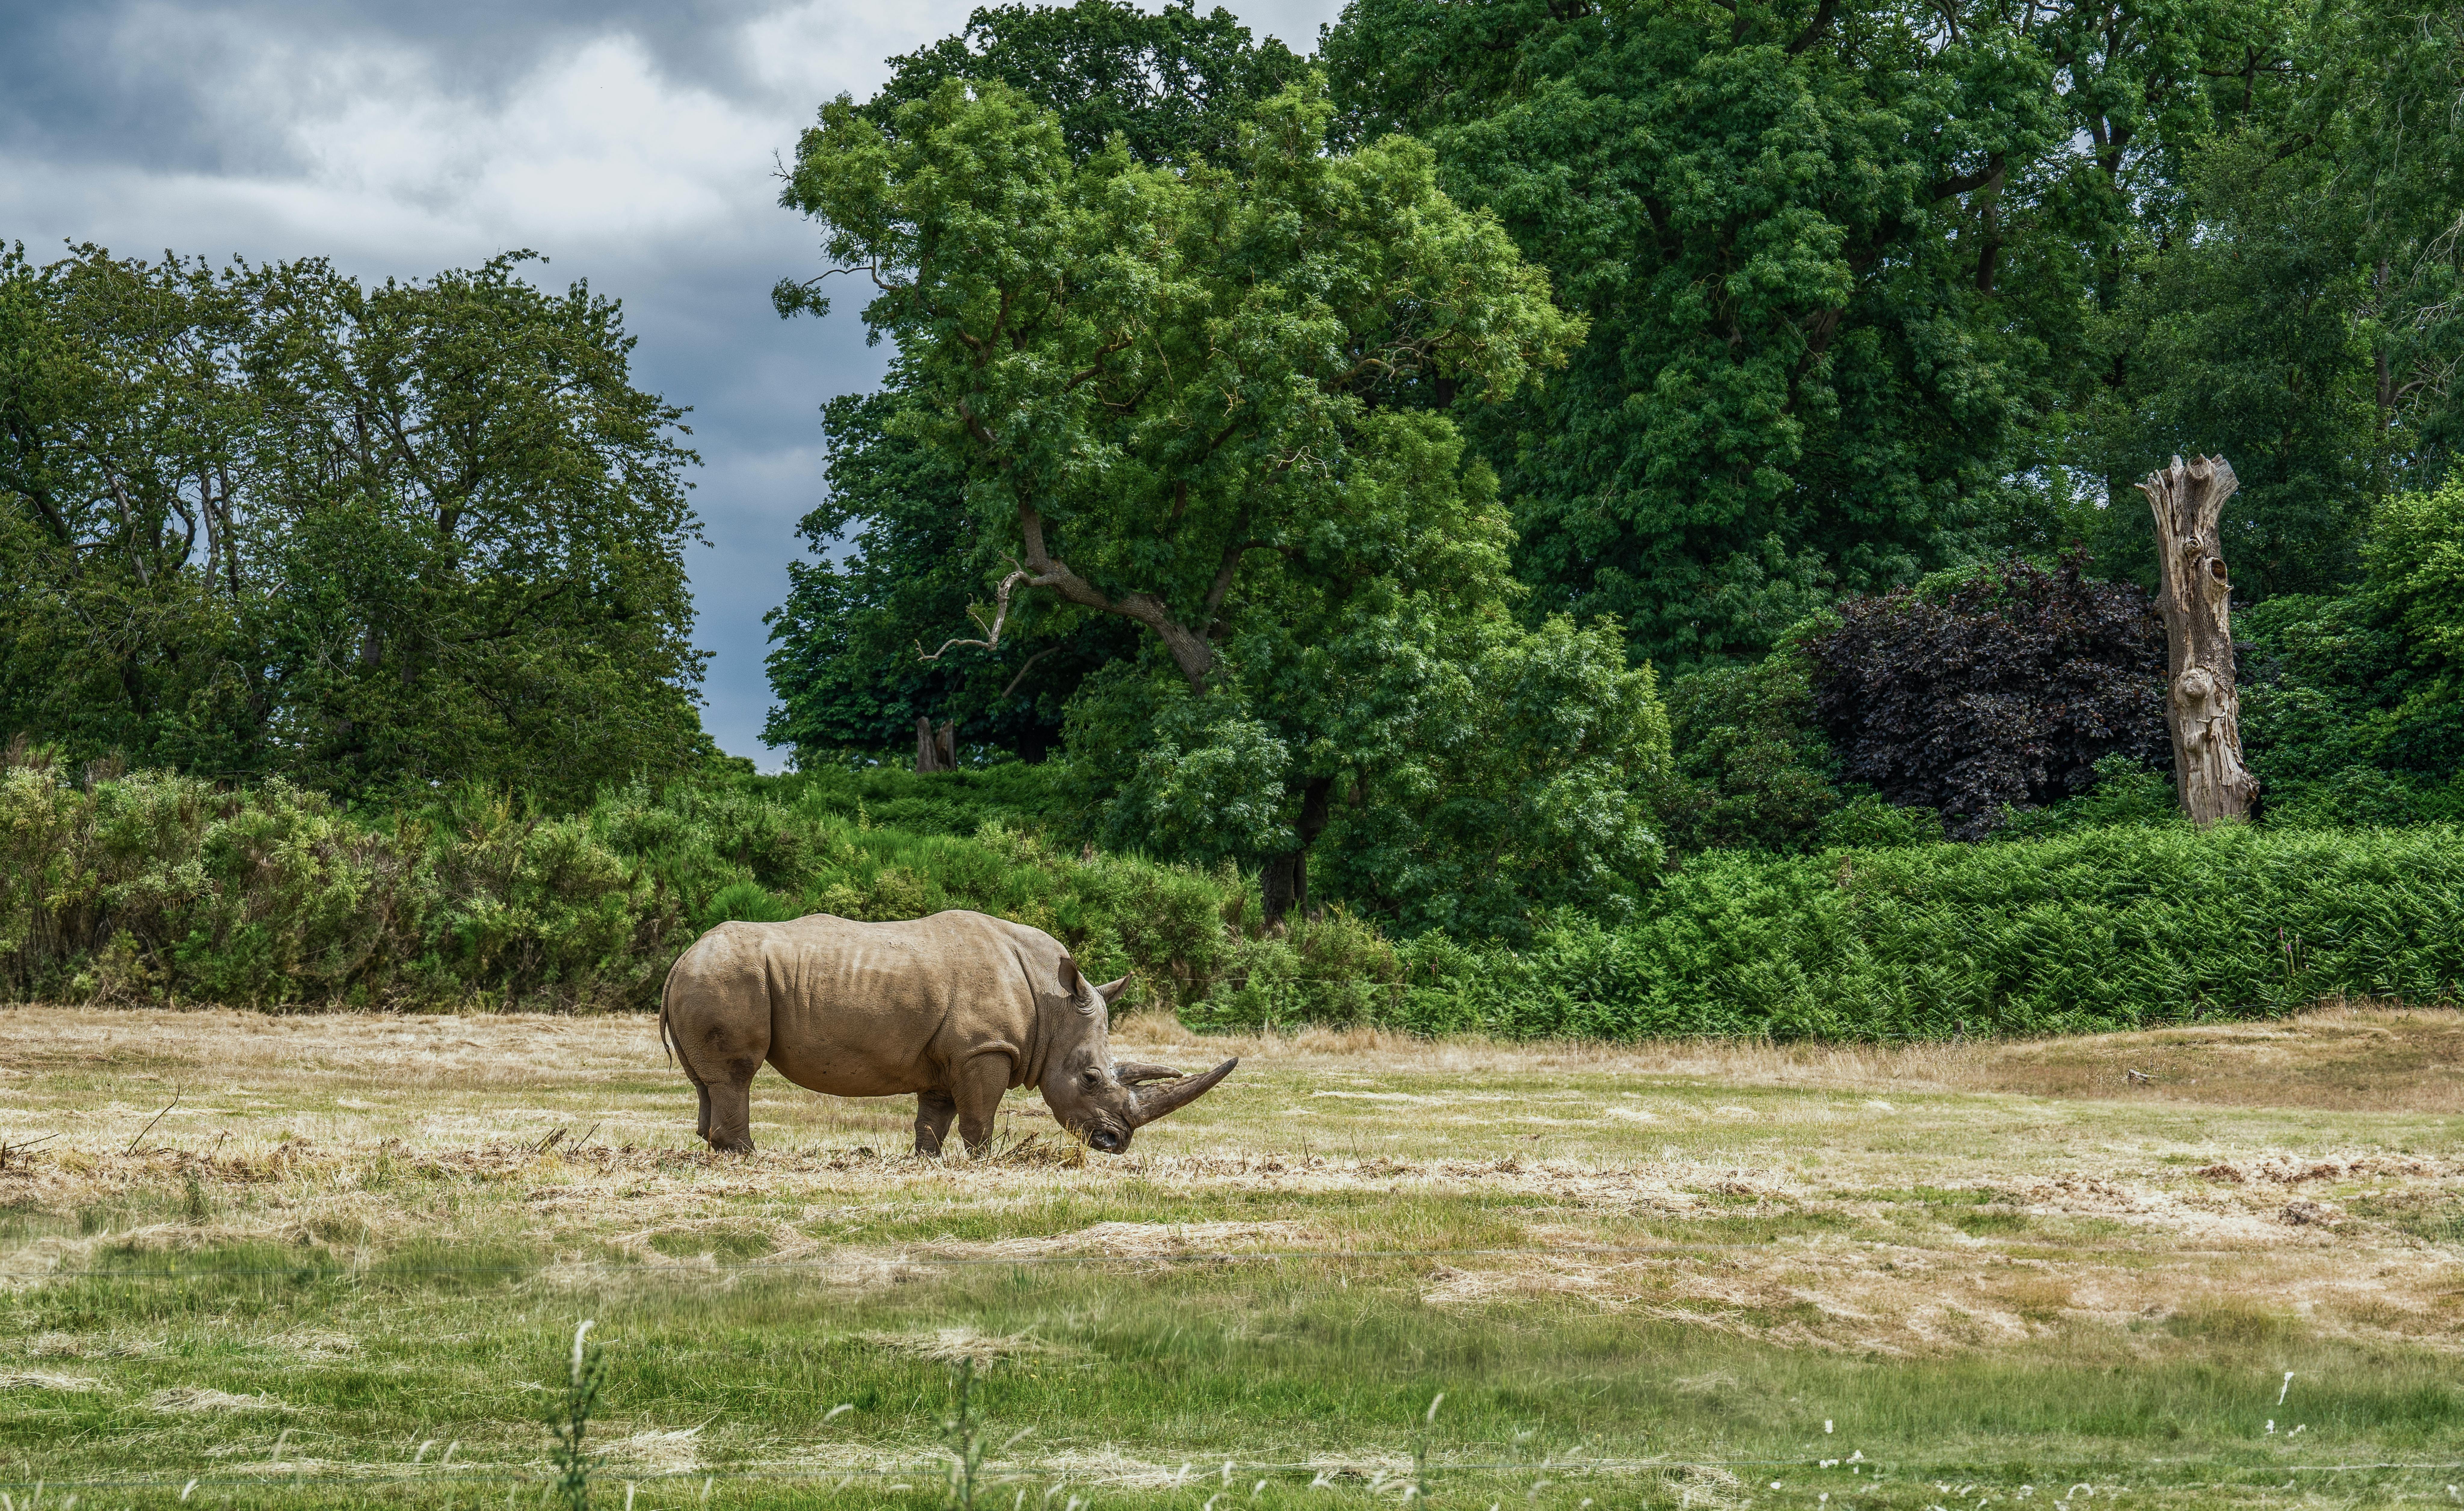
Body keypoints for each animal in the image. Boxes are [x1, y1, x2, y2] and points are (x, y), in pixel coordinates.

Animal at [658, 909, 1237, 1155]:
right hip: (727, 976)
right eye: (1092, 1079)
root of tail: (681, 957)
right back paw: (748, 1156)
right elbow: (979, 1118)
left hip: (708, 976)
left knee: (707, 1082)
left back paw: (718, 1150)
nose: (1116, 1144)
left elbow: (934, 1116)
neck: (1053, 1007)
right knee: (736, 1075)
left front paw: (927, 1160)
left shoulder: (949, 1056)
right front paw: (983, 1163)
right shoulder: (985, 1049)